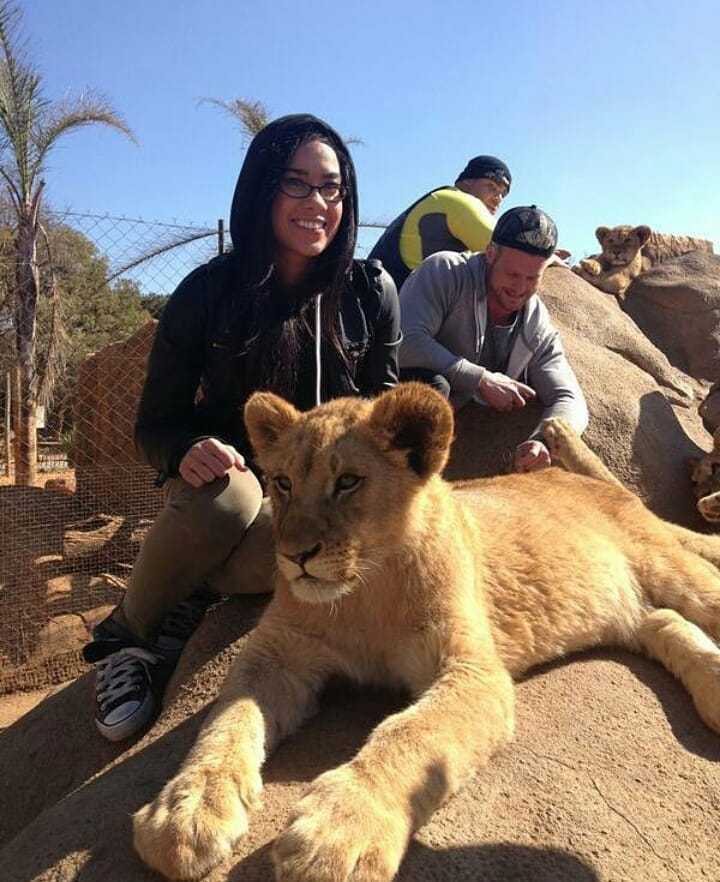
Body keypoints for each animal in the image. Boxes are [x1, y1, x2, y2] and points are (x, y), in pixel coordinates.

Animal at [133, 383, 720, 882]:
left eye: (348, 481)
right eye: (282, 483)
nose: (295, 556)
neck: (361, 595)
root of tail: (594, 483)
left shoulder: (473, 670)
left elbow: (412, 735)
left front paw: (339, 830)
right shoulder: (276, 655)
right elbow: (227, 722)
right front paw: (186, 809)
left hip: (669, 565)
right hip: (627, 603)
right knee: (662, 620)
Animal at [573, 224, 713, 298]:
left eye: (628, 240)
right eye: (610, 240)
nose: (616, 252)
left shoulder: (618, 279)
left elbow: (601, 278)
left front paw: (580, 268)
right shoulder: (604, 260)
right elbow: (599, 259)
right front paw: (590, 264)